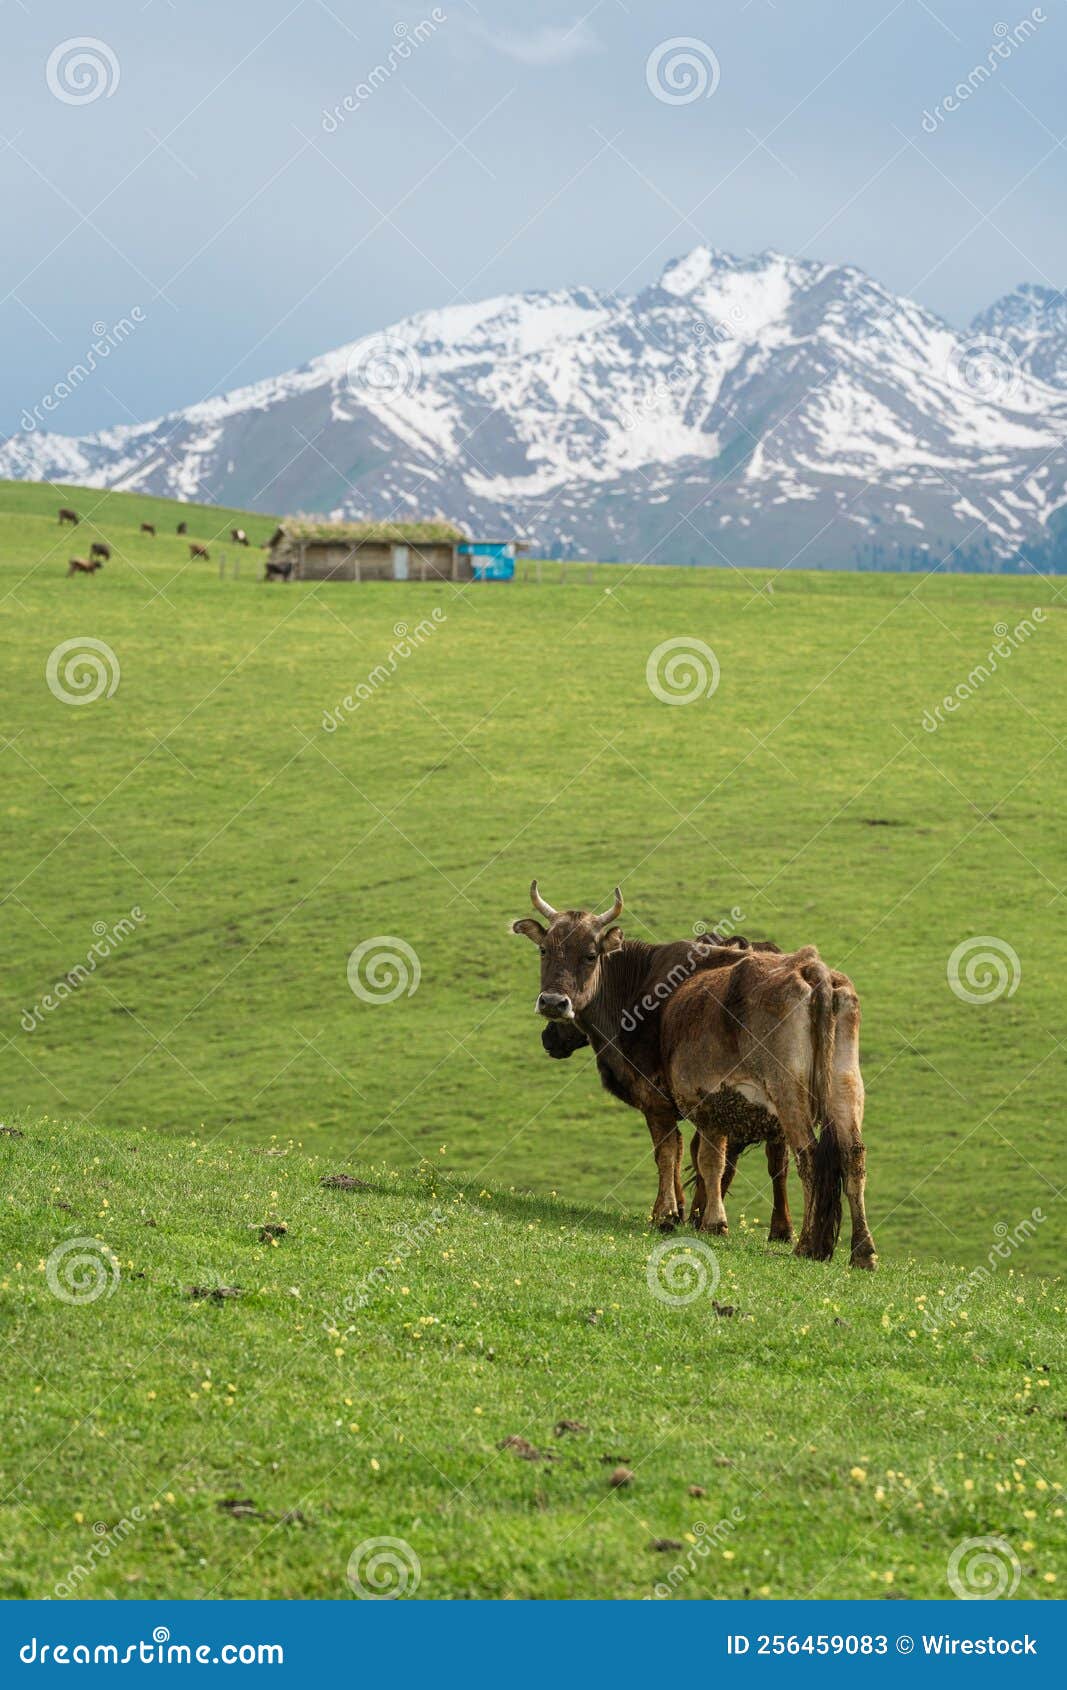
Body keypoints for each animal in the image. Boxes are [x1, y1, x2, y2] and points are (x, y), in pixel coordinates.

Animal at [512, 882, 875, 1268]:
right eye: (544, 949)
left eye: (591, 955)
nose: (553, 1004)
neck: (640, 986)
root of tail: (811, 969)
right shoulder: (711, 1107)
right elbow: (705, 1159)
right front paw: (701, 1217)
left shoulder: (658, 1100)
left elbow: (669, 1152)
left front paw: (668, 1215)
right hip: (846, 1089)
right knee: (853, 1156)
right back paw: (862, 1252)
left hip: (788, 1093)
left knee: (808, 1155)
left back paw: (808, 1243)